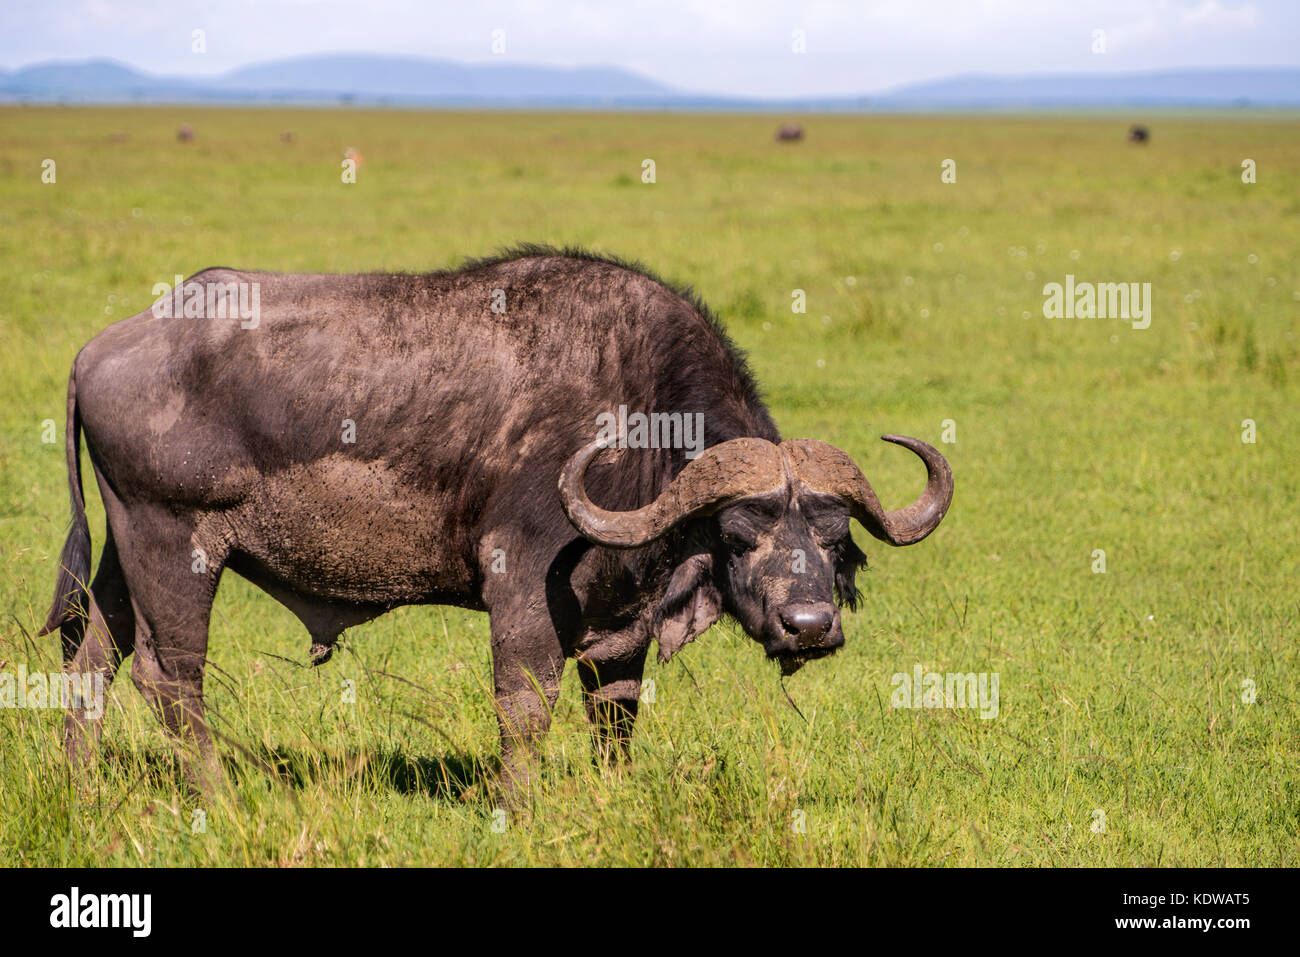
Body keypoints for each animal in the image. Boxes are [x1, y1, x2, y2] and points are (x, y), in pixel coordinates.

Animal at [42, 246, 952, 793]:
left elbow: (616, 708)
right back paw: (220, 794)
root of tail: (101, 349)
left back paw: (80, 784)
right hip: (175, 544)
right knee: (170, 677)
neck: (641, 419)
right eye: (738, 532)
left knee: (93, 658)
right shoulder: (522, 583)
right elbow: (527, 705)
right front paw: (517, 806)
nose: (810, 625)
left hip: (125, 554)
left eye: (832, 540)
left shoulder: (619, 615)